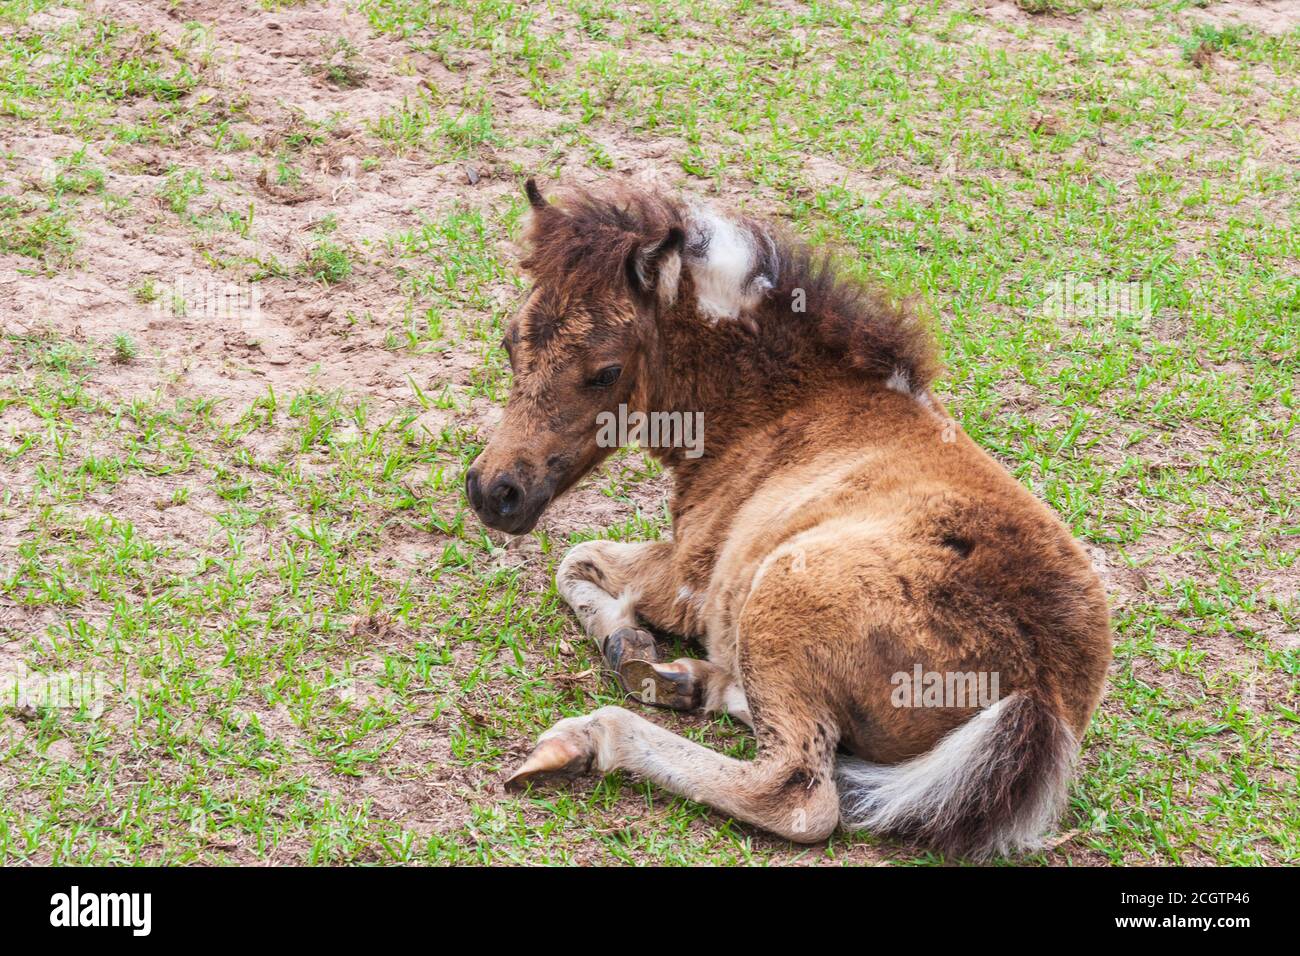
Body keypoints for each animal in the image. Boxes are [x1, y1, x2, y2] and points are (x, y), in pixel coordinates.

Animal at [464, 178, 1111, 858]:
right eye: (510, 341)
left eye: (606, 371)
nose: (494, 491)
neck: (783, 404)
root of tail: (1040, 693)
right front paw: (635, 648)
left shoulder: (689, 579)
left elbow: (576, 558)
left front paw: (625, 640)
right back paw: (682, 678)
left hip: (779, 599)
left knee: (796, 793)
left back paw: (591, 736)